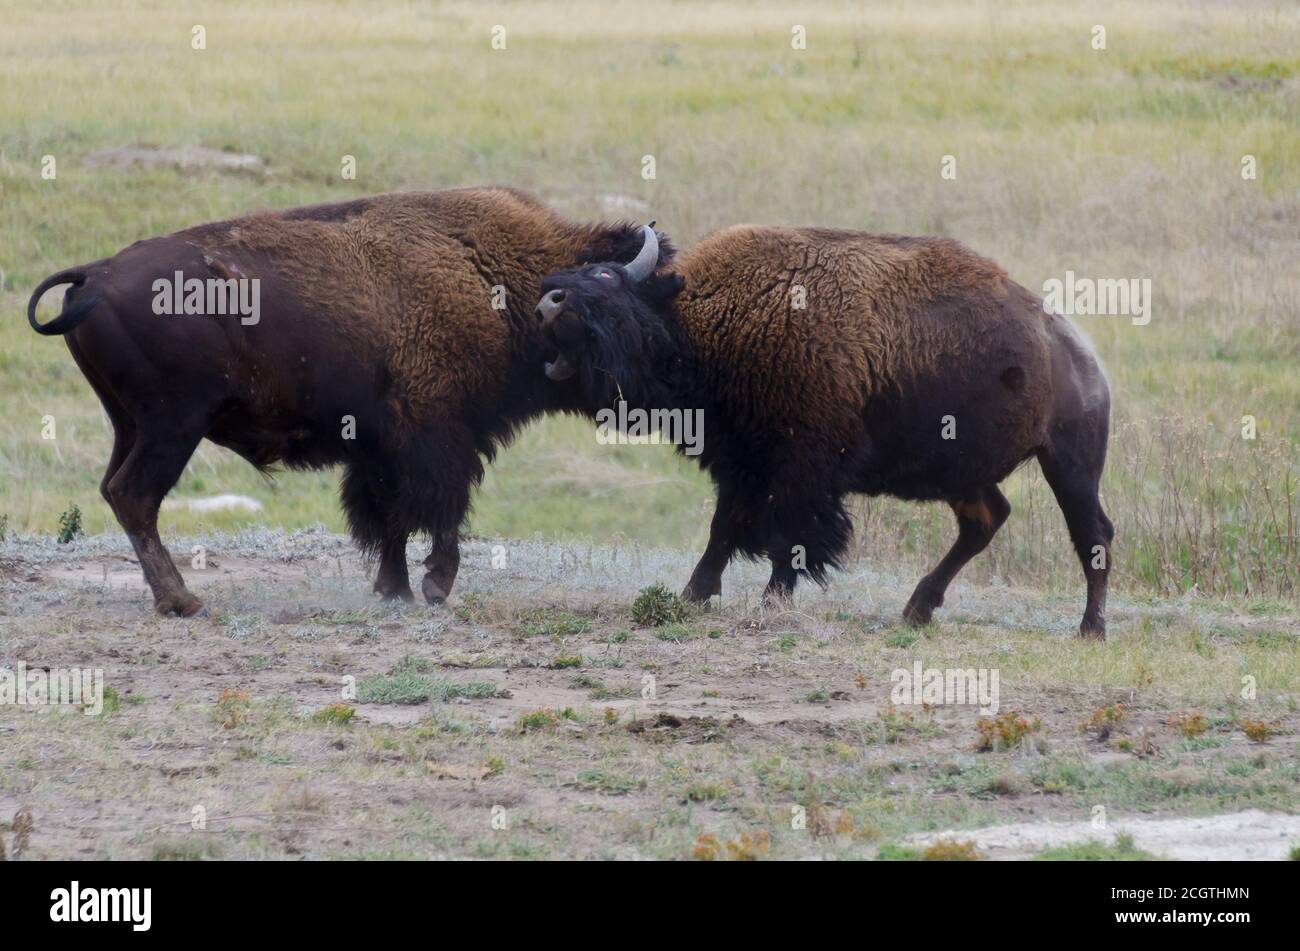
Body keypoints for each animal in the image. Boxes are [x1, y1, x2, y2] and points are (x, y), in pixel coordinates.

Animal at [28, 187, 672, 616]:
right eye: (617, 301)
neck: (491, 274)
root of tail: (94, 276)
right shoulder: (438, 436)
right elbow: (436, 511)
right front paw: (434, 588)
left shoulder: (378, 446)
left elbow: (387, 518)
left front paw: (394, 589)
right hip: (173, 425)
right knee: (135, 495)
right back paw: (183, 600)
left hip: (129, 424)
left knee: (116, 490)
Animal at [537, 224, 1114, 637]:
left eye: (607, 278)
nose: (549, 299)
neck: (698, 316)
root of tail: (1075, 349)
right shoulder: (742, 462)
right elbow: (725, 529)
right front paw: (693, 595)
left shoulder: (801, 467)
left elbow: (789, 538)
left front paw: (771, 600)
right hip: (964, 474)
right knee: (986, 520)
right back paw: (916, 609)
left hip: (1069, 465)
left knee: (1094, 537)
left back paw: (1089, 629)